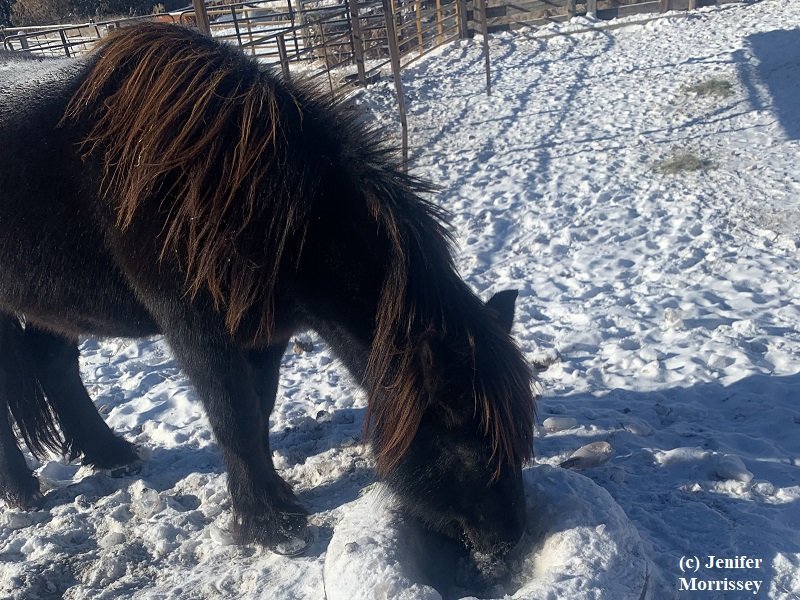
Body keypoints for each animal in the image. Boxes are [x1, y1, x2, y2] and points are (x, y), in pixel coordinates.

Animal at [0, 23, 536, 557]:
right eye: (464, 438)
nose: (509, 541)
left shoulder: (264, 333)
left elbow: (259, 412)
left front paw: (276, 501)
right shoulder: (194, 329)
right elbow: (233, 416)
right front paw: (269, 525)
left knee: (55, 363)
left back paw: (109, 454)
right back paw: (22, 490)